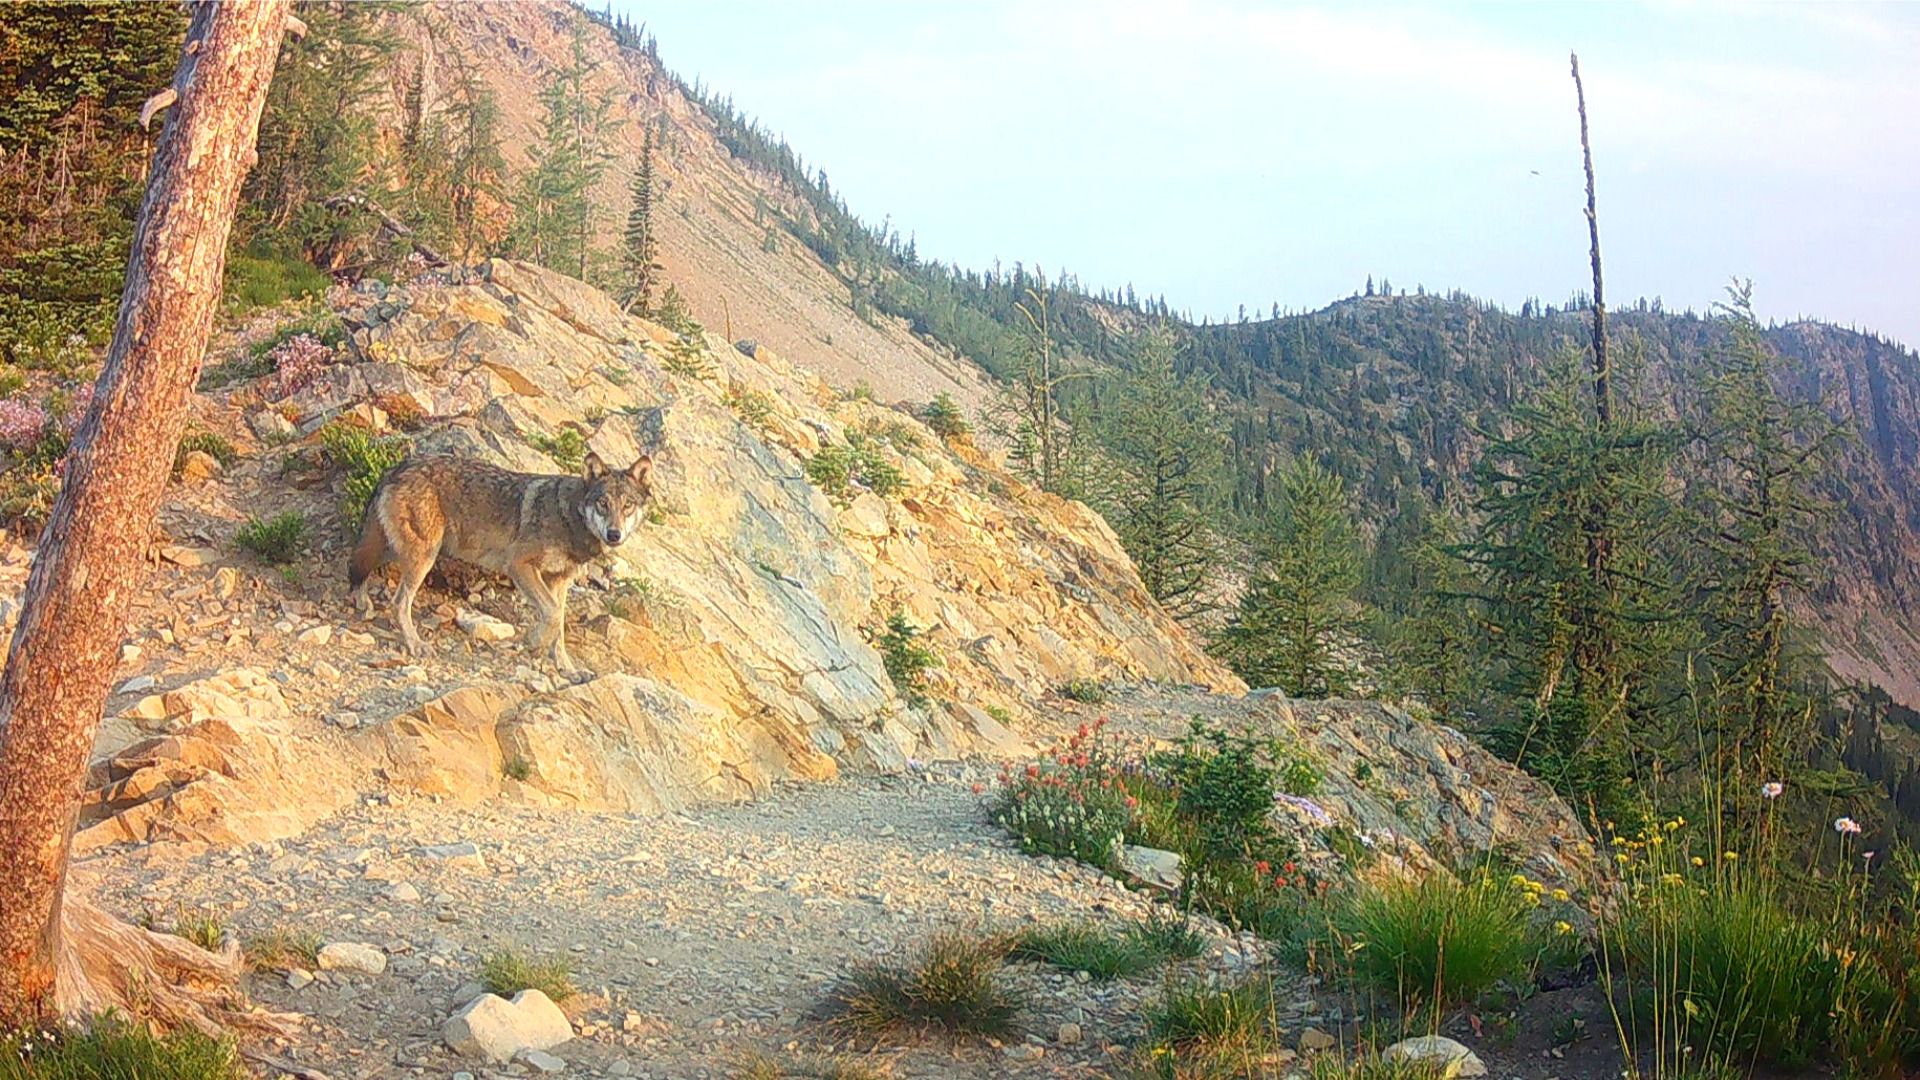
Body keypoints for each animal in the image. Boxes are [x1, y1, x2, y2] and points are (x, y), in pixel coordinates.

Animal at [349, 451, 653, 671]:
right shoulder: (519, 566)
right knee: (398, 601)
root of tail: (398, 467)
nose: (614, 534)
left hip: (398, 548)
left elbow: (558, 624)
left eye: (627, 505)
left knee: (359, 567)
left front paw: (564, 665)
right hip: (423, 557)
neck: (570, 518)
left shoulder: (559, 580)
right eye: (603, 503)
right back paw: (415, 643)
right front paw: (533, 643)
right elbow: (553, 615)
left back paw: (362, 602)